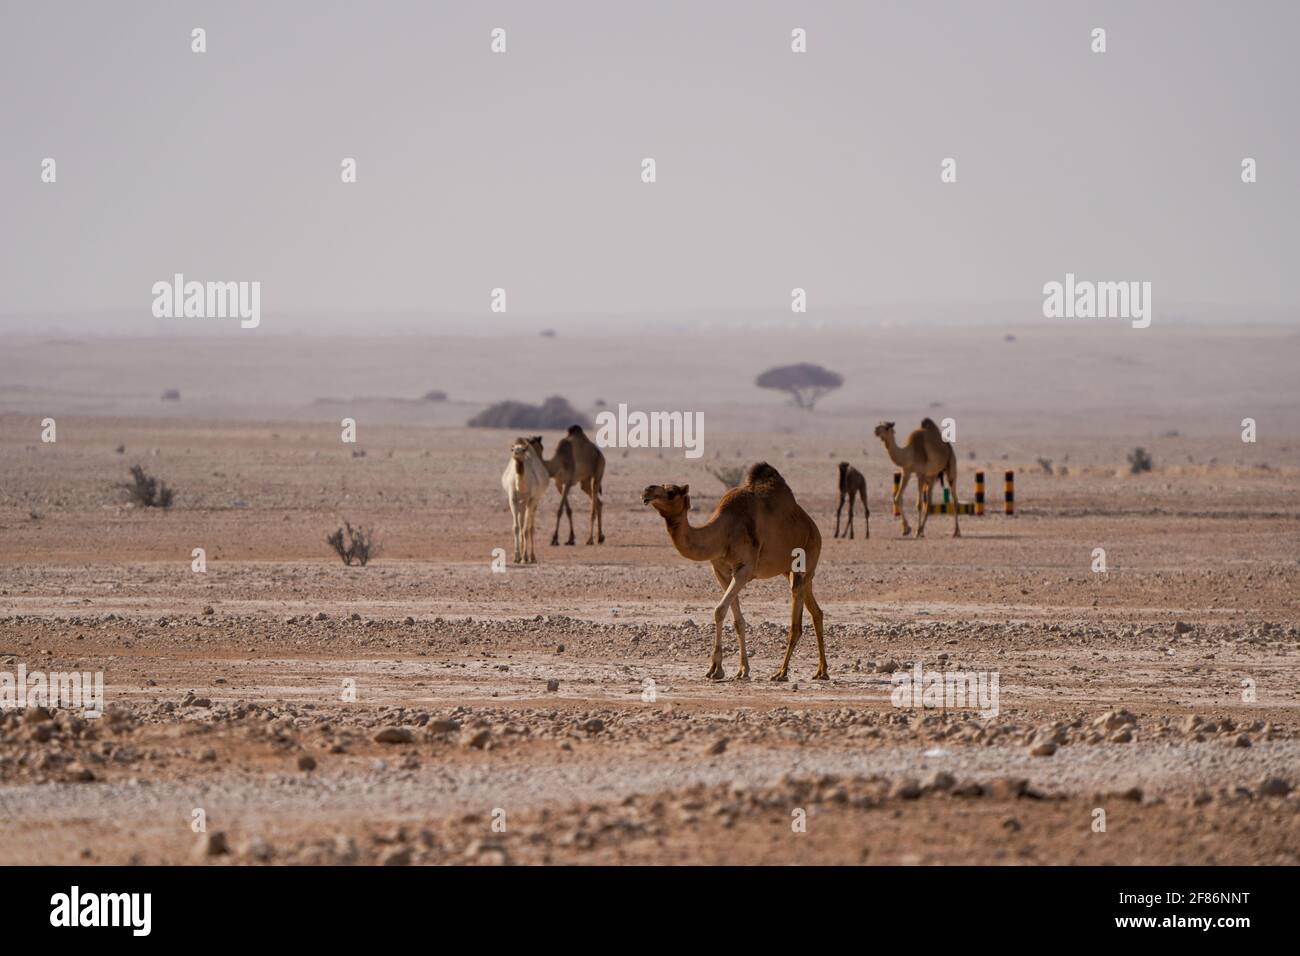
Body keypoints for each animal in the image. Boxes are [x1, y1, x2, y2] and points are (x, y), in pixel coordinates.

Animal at [642, 462, 827, 682]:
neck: (723, 533)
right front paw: (742, 670)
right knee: (816, 611)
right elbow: (737, 620)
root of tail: (813, 526)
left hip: (807, 558)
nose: (647, 490)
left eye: (671, 492)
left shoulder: (744, 569)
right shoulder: (721, 571)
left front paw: (715, 669)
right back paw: (822, 671)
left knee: (796, 621)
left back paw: (781, 672)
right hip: (791, 571)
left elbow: (719, 610)